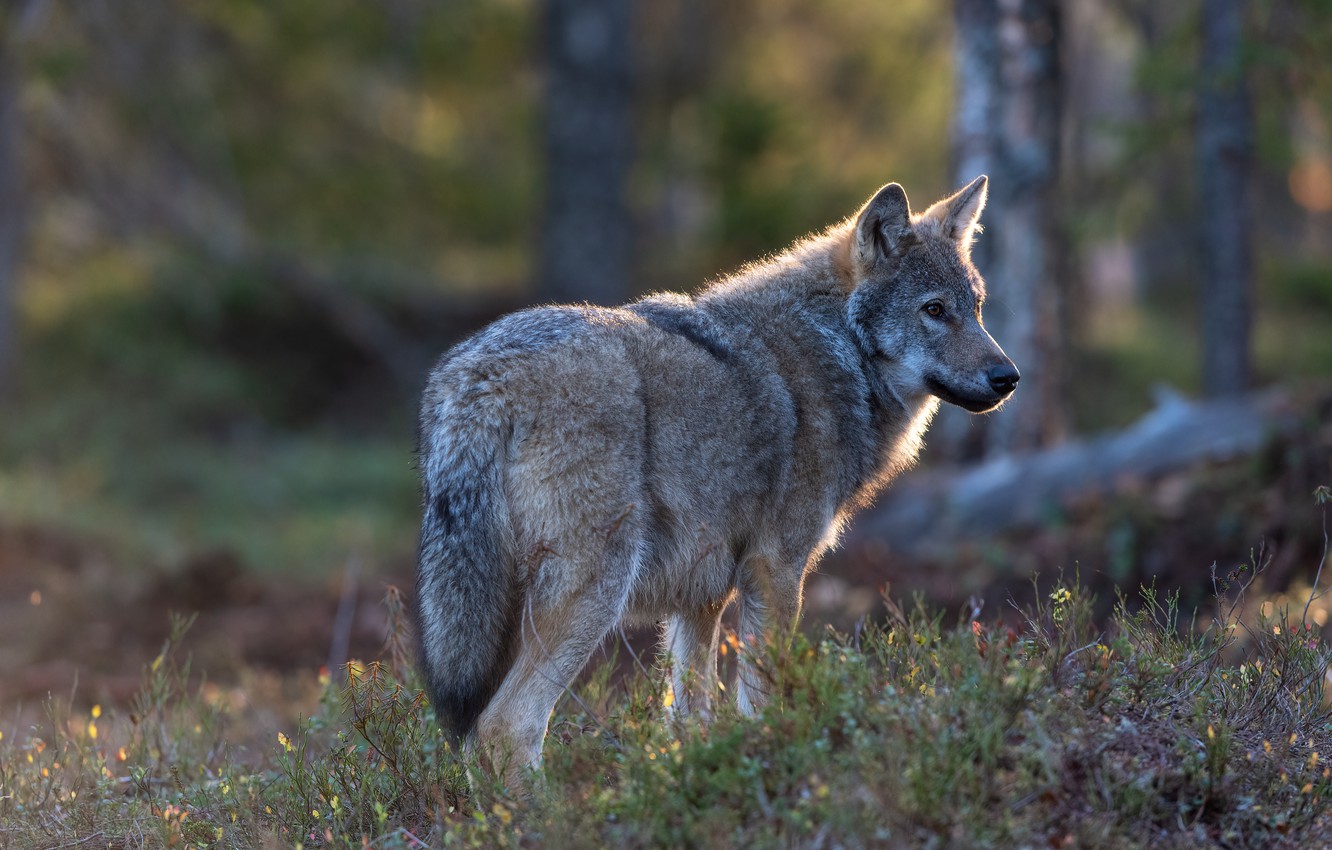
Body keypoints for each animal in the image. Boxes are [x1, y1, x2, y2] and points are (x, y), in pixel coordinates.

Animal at [415, 175, 1018, 783]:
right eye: (934, 310)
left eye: (977, 309)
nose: (1008, 377)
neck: (833, 350)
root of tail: (481, 376)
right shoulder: (775, 570)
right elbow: (761, 702)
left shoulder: (702, 594)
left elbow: (690, 717)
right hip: (593, 592)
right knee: (505, 727)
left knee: (473, 735)